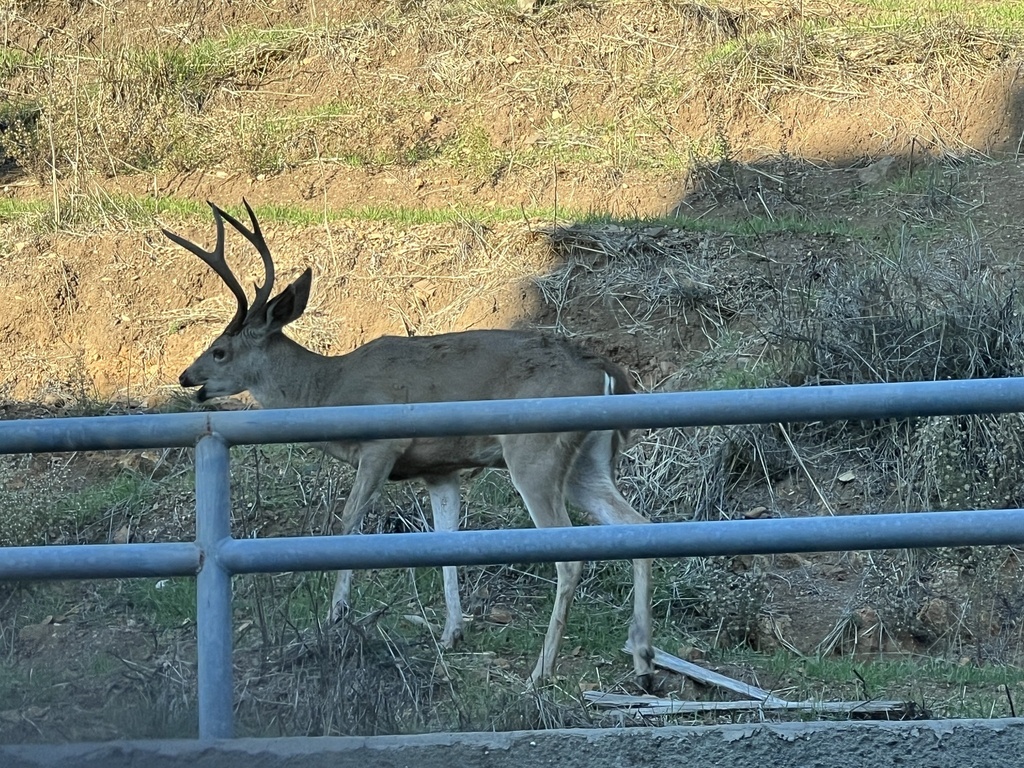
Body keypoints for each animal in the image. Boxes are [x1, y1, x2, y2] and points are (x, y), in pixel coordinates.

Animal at [163, 200, 655, 687]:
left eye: (219, 350)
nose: (187, 376)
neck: (328, 389)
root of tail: (609, 373)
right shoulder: (439, 470)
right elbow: (446, 540)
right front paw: (451, 632)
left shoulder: (383, 445)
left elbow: (348, 522)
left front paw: (337, 614)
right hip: (586, 461)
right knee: (635, 524)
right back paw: (643, 657)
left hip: (535, 452)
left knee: (569, 557)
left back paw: (542, 670)